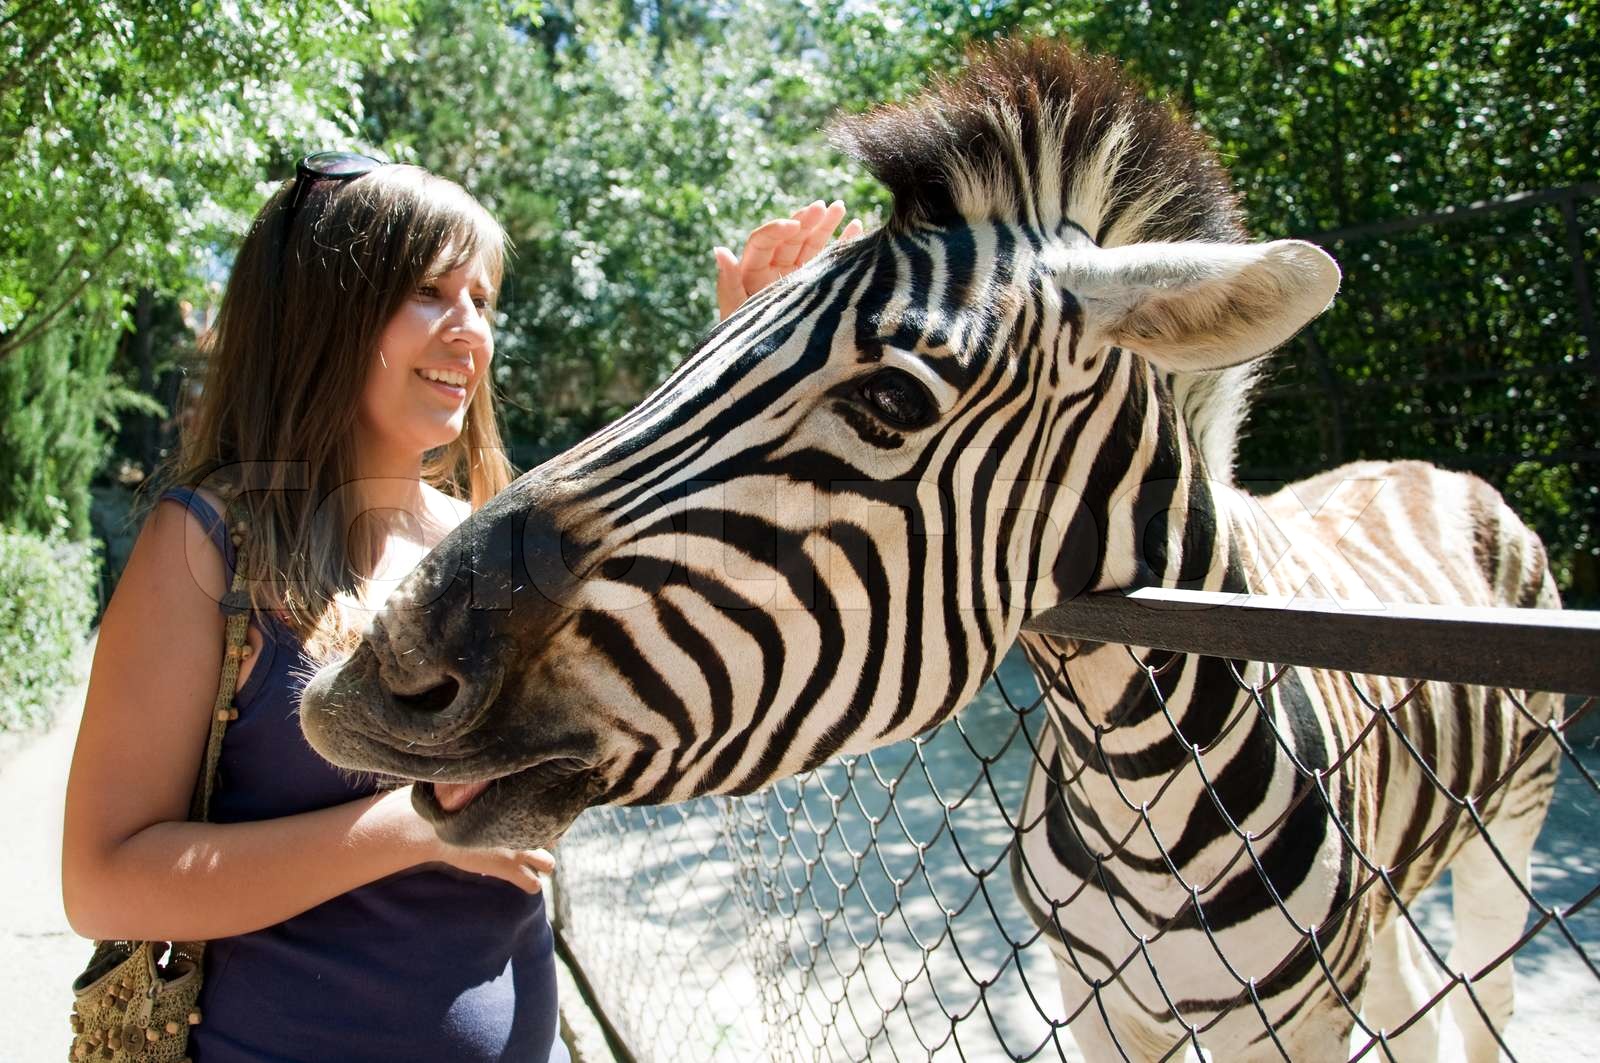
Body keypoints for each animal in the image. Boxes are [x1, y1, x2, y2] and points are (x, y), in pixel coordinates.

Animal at [301, 40, 1564, 1062]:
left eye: (892, 402)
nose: (367, 679)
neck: (1142, 787)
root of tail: (1425, 467)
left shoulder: (1286, 1022)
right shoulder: (1096, 995)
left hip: (1510, 830)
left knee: (1482, 999)